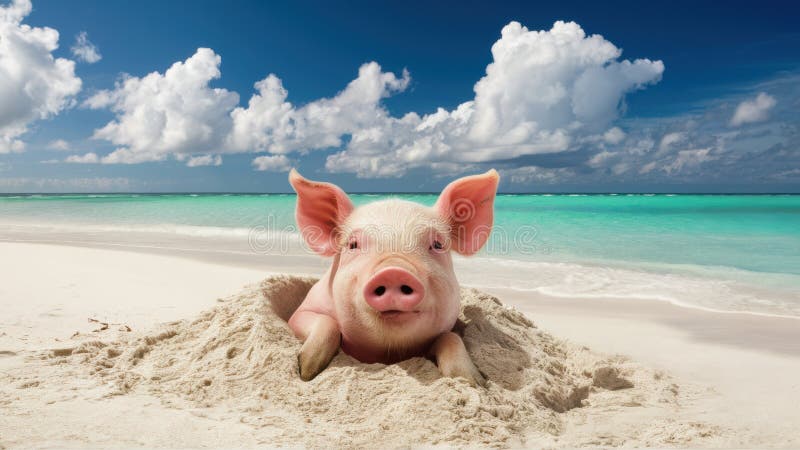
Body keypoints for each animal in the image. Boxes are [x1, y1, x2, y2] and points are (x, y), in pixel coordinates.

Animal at [287, 168, 499, 387]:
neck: (389, 353)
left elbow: (450, 337)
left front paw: (473, 381)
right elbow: (324, 322)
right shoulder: (302, 311)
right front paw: (305, 371)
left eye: (438, 244)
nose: (393, 272)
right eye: (353, 244)